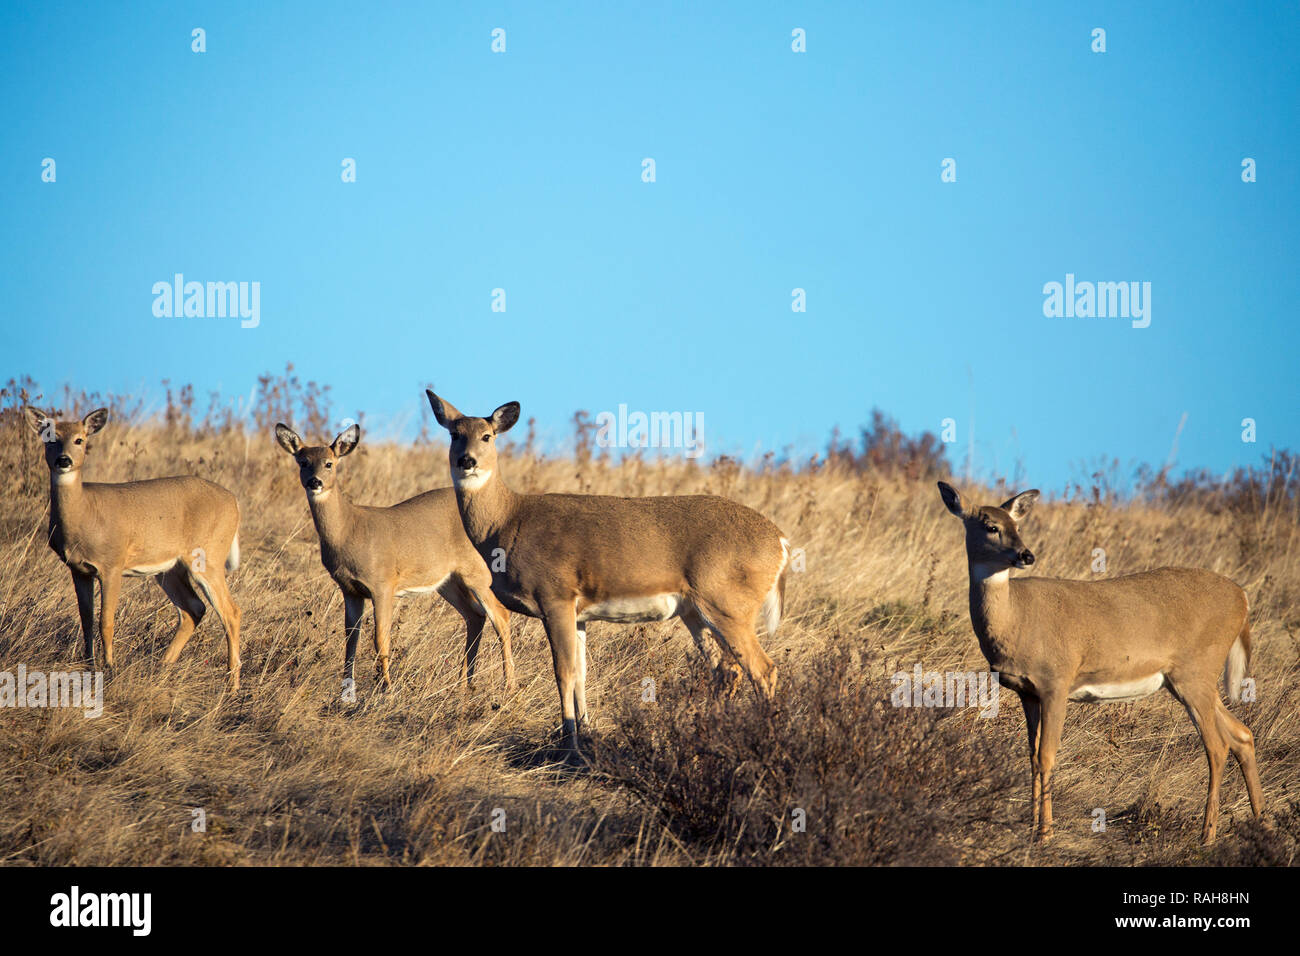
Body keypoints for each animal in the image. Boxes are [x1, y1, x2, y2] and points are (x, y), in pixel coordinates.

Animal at [24, 407, 243, 688]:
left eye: (79, 439)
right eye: (50, 438)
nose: (64, 460)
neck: (85, 512)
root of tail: (234, 501)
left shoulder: (112, 564)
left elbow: (106, 620)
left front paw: (109, 667)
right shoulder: (78, 569)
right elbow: (86, 619)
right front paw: (89, 665)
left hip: (208, 556)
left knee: (231, 612)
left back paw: (232, 686)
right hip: (170, 569)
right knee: (193, 609)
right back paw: (160, 668)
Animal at [274, 423, 513, 694]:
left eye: (329, 463)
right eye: (303, 462)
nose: (315, 481)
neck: (349, 529)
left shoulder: (382, 583)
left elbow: (380, 638)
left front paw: (386, 687)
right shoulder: (350, 590)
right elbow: (350, 639)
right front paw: (346, 690)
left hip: (478, 573)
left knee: (501, 616)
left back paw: (508, 686)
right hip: (448, 581)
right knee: (475, 615)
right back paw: (463, 683)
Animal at [425, 390, 791, 765]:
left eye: (488, 436)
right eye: (454, 434)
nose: (467, 461)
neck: (507, 522)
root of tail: (781, 543)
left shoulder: (555, 595)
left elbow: (563, 673)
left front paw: (569, 748)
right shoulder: (578, 612)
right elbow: (581, 675)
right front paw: (585, 736)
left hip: (727, 602)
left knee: (762, 669)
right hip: (696, 612)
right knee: (725, 671)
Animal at [936, 481, 1264, 844]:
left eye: (1017, 526)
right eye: (991, 526)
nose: (1026, 555)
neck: (1015, 618)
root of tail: (1243, 597)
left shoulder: (1056, 680)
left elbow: (1048, 755)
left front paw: (1046, 832)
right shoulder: (1027, 692)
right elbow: (1032, 756)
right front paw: (1032, 827)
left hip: (1196, 671)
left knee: (1217, 745)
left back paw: (1207, 835)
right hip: (1189, 680)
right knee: (1242, 734)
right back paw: (1262, 822)